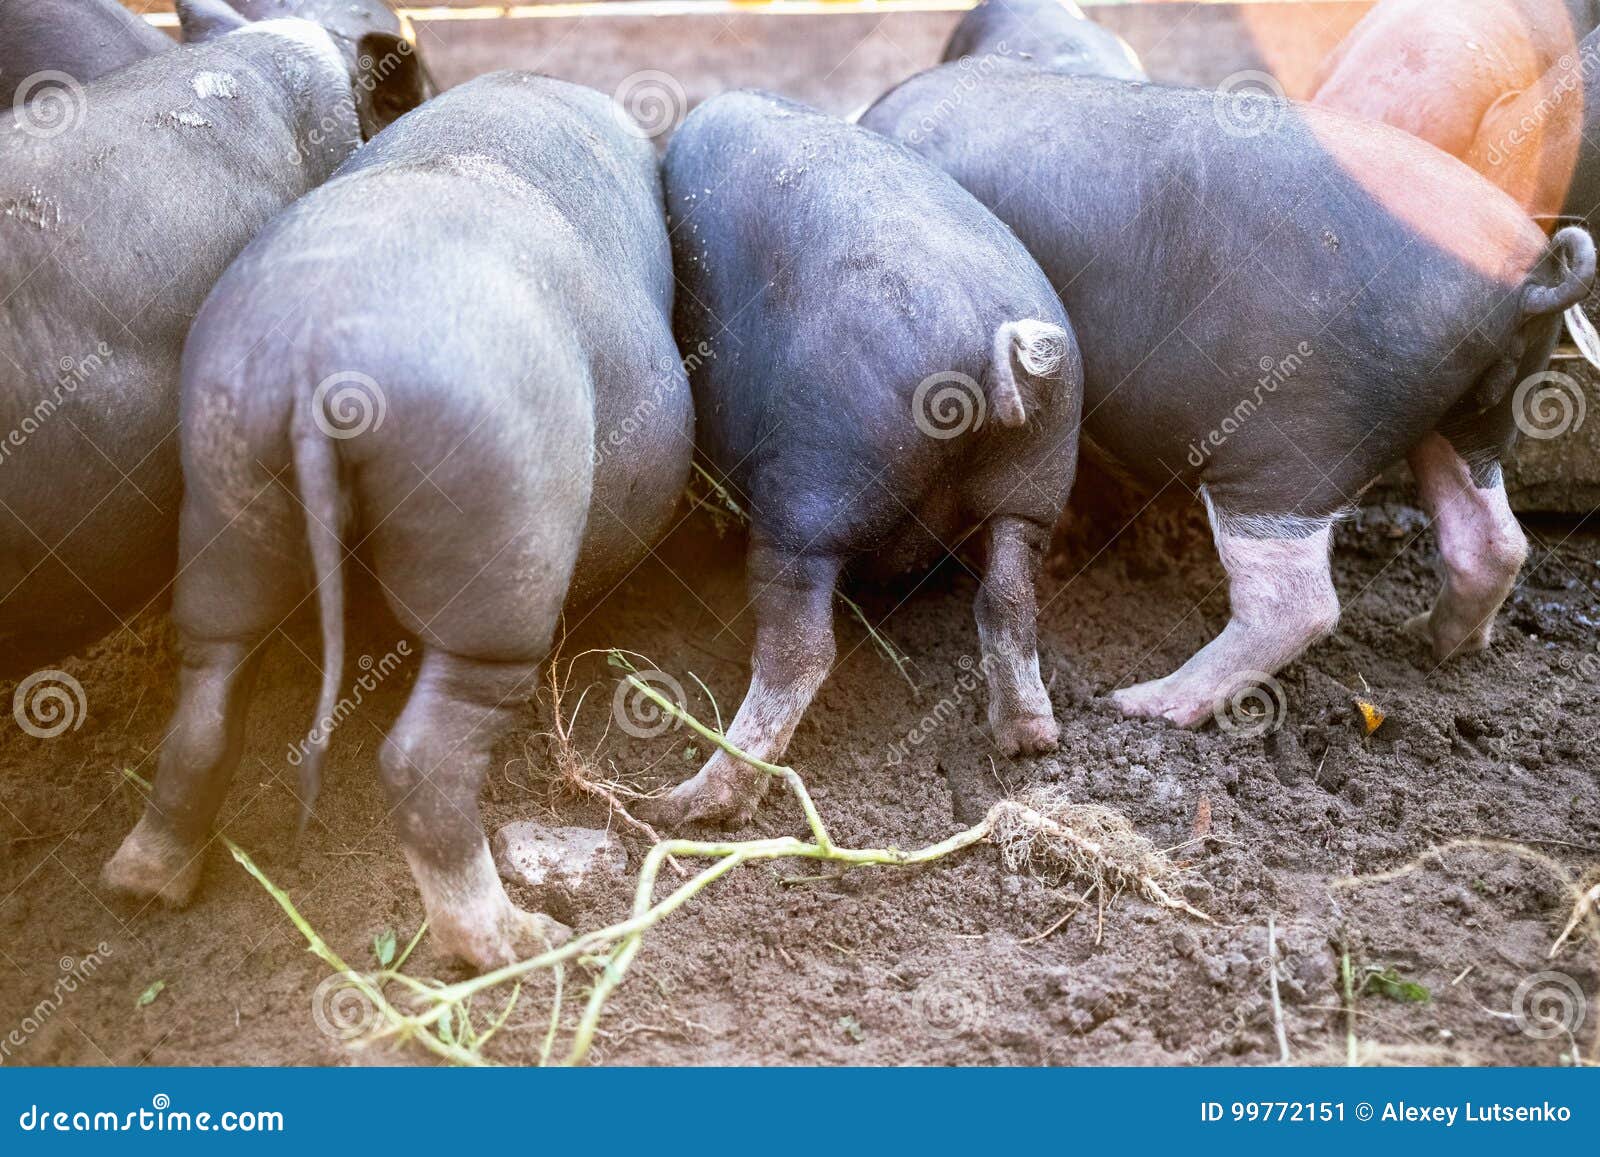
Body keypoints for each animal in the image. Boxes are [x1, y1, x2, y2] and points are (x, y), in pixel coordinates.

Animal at [102, 72, 694, 970]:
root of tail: (317, 362)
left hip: (223, 498)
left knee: (204, 701)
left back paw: (143, 881)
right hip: (498, 568)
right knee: (423, 759)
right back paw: (527, 940)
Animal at [649, 91, 1083, 827]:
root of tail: (991, 334)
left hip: (811, 488)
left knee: (800, 652)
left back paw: (682, 807)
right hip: (1035, 484)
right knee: (1009, 597)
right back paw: (1029, 739)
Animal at [862, 64, 1594, 727]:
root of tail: (1529, 276)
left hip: (1285, 450)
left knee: (1296, 604)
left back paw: (1140, 704)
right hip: (1477, 416)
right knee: (1494, 539)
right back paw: (1431, 641)